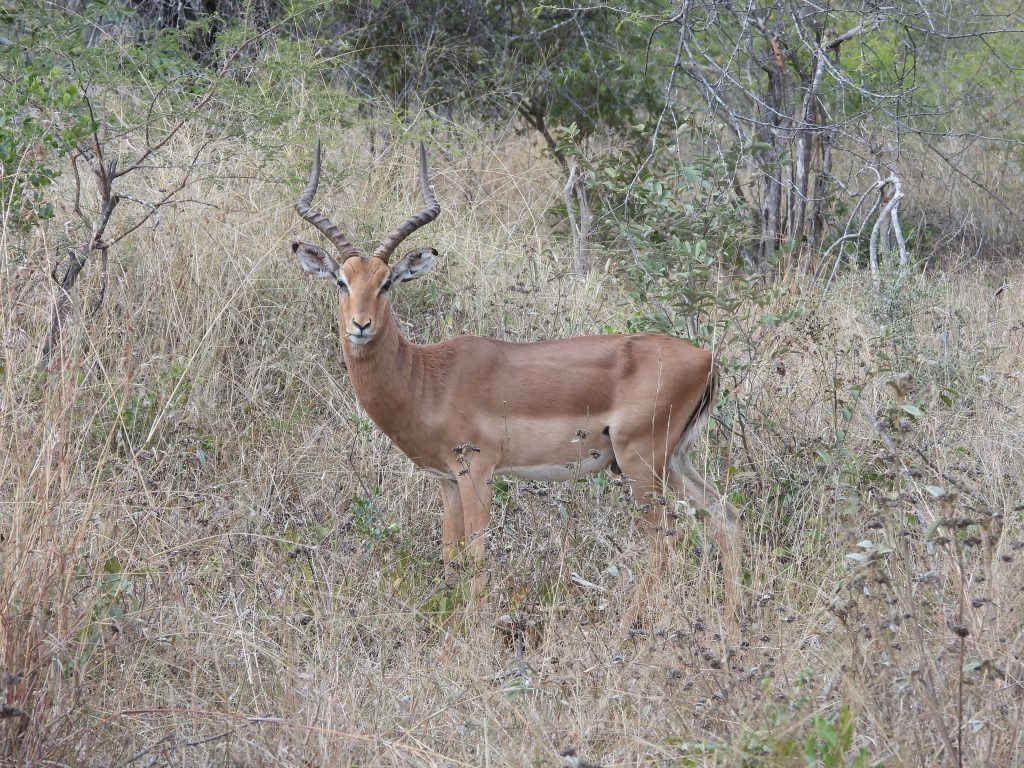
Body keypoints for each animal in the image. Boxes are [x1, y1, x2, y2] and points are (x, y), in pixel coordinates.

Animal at [290, 142, 743, 632]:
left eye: (387, 282)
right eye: (342, 281)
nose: (360, 325)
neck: (428, 377)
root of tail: (707, 359)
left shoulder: (477, 471)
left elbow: (476, 554)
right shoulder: (446, 480)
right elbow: (449, 554)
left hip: (641, 463)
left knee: (664, 545)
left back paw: (627, 630)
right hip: (674, 460)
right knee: (726, 517)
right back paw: (733, 621)